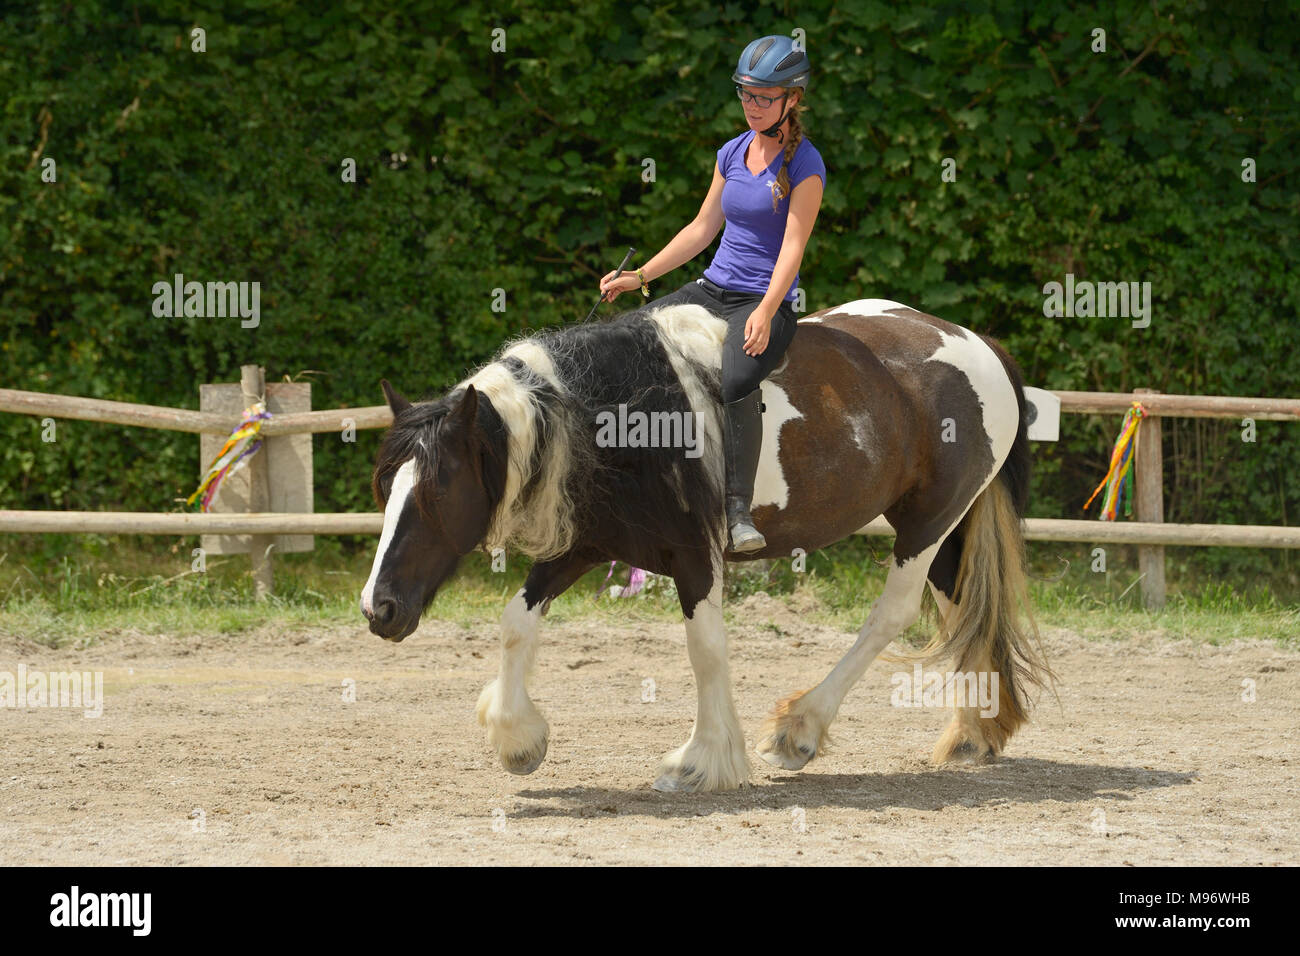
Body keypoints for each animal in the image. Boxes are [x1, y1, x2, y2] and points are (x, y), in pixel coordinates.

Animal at [359, 298, 1051, 792]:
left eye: (436, 491)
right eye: (386, 486)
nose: (378, 608)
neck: (618, 416)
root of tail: (979, 344)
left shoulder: (695, 556)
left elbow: (706, 650)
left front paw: (702, 761)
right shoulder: (586, 546)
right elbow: (514, 622)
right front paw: (517, 739)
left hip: (928, 525)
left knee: (895, 613)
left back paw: (800, 729)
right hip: (943, 531)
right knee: (965, 609)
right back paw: (975, 734)